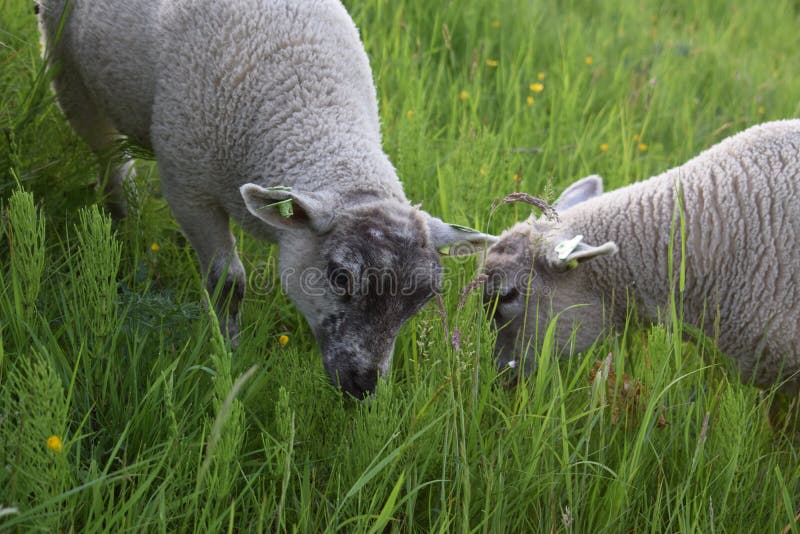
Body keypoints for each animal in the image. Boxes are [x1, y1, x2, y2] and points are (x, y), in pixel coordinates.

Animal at [38, 0, 496, 398]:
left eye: (422, 301)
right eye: (340, 277)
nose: (363, 387)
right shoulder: (188, 187)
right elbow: (229, 283)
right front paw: (229, 354)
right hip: (66, 66)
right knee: (109, 156)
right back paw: (124, 218)